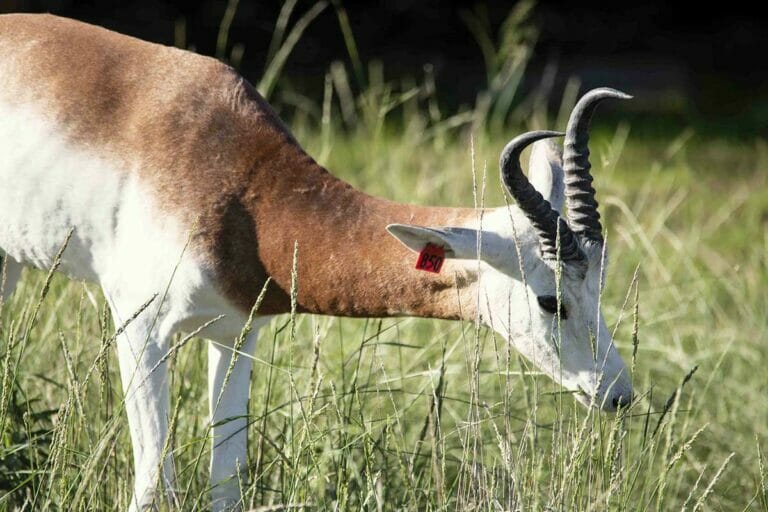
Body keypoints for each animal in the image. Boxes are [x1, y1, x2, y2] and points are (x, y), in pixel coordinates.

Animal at [0, 13, 634, 512]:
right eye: (551, 300)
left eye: (600, 289)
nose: (618, 396)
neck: (247, 195)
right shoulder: (140, 329)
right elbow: (154, 487)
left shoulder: (235, 334)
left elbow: (227, 483)